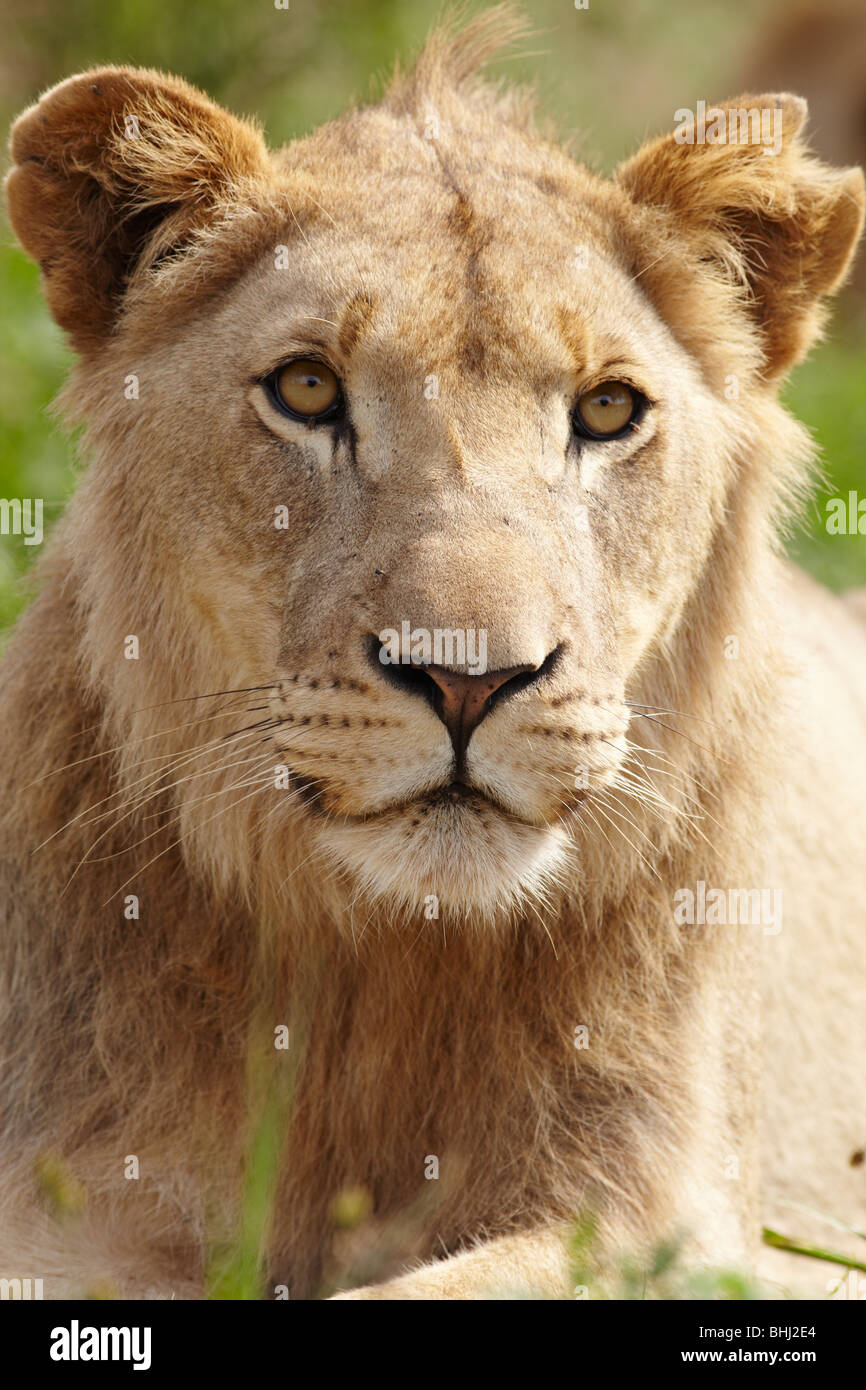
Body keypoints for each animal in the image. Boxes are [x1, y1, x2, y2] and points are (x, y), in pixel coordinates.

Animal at [1, 6, 864, 1300]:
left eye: (606, 411)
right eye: (307, 388)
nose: (469, 679)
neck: (387, 964)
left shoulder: (670, 1221)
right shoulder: (61, 1189)